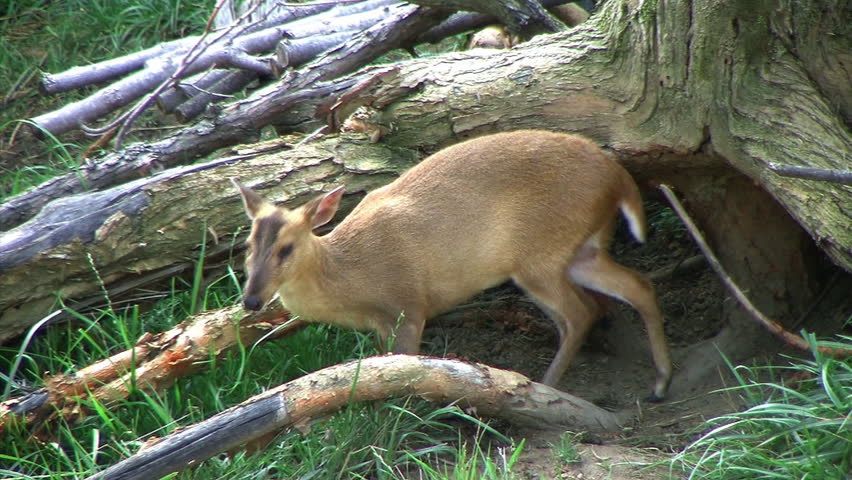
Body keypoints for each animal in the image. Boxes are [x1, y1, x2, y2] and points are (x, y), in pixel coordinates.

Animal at [233, 130, 673, 401]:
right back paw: (659, 383)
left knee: (581, 313)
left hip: (540, 255)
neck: (351, 275)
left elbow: (406, 368)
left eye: (287, 248)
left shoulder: (409, 305)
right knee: (633, 288)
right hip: (579, 250)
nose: (251, 300)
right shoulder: (382, 324)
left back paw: (548, 387)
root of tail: (619, 176)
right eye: (248, 244)